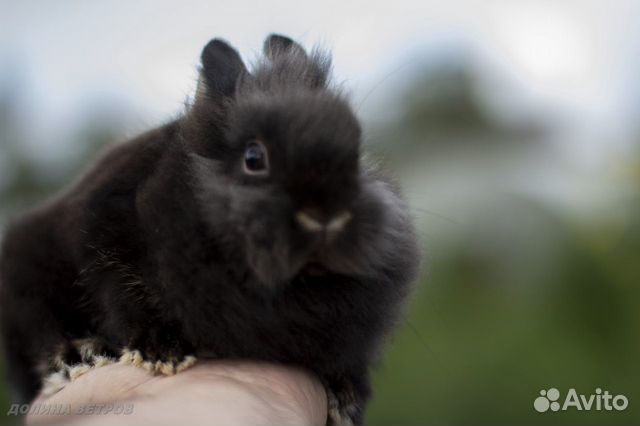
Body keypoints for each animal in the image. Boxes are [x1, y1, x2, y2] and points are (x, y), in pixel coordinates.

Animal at [0, 34, 420, 425]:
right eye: (254, 158)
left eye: (357, 154)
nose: (326, 215)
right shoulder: (104, 238)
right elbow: (123, 294)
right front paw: (162, 352)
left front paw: (346, 398)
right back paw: (79, 356)